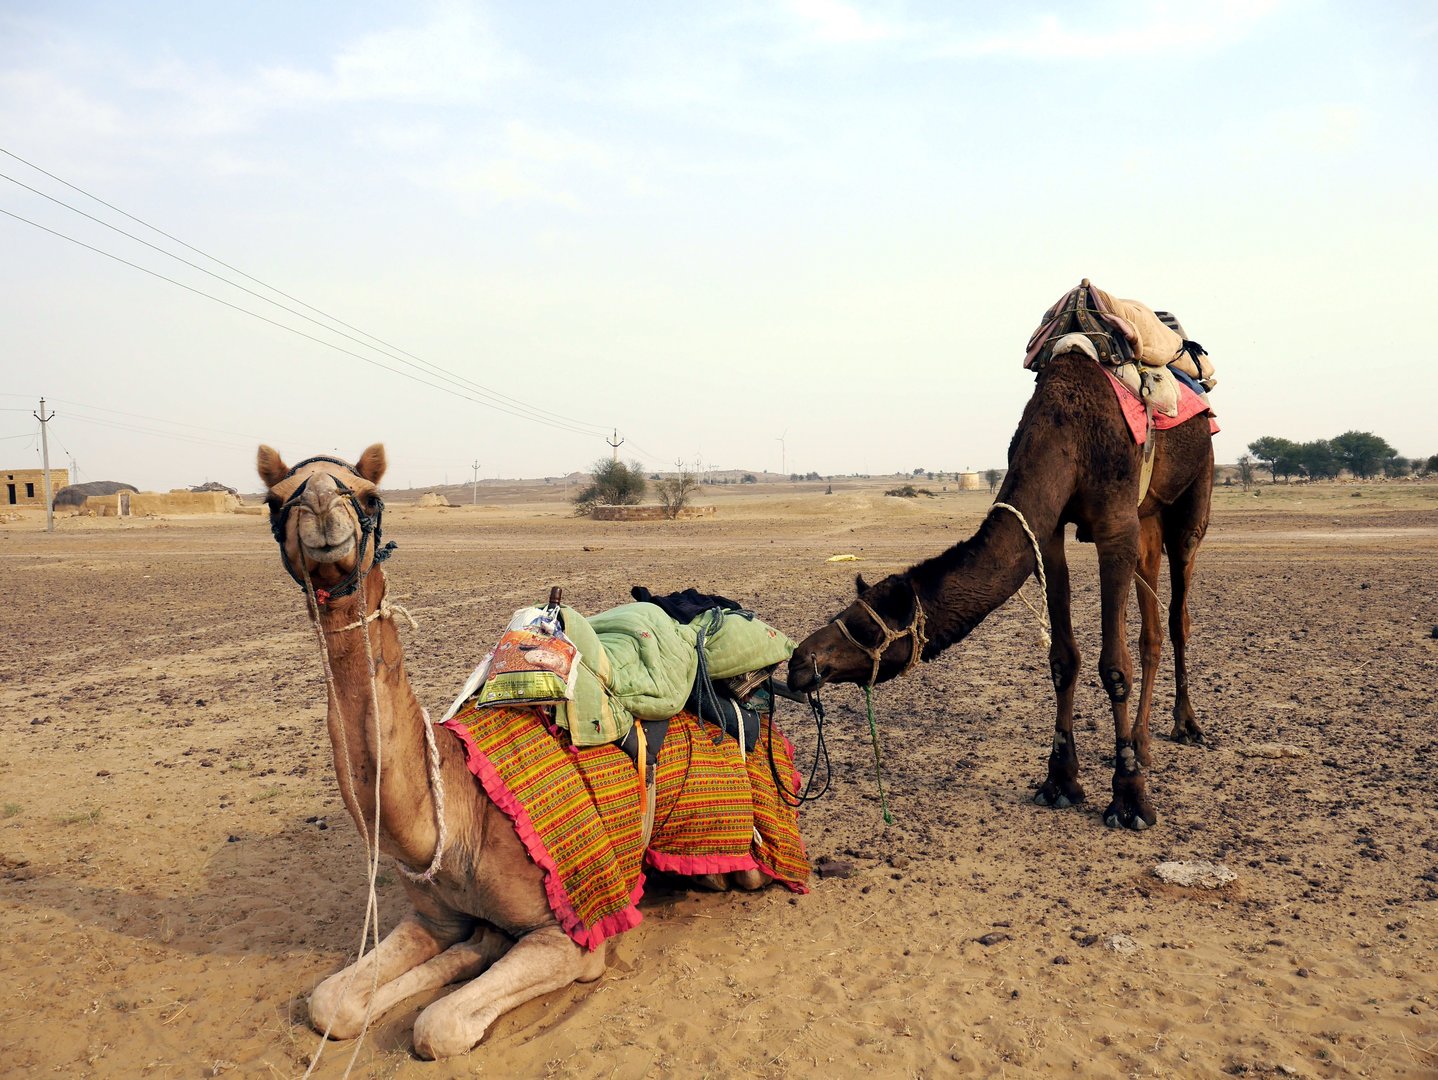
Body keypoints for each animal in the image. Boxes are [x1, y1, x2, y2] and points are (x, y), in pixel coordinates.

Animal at [258, 443, 774, 1060]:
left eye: (370, 495)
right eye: (272, 499)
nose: (319, 509)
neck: (457, 810)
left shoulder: (570, 933)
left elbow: (439, 1025)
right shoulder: (432, 916)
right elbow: (330, 1002)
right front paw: (475, 945)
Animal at [787, 348, 1214, 829]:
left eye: (867, 629)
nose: (799, 661)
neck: (1067, 437)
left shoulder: (1115, 525)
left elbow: (1115, 667)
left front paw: (1130, 800)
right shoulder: (1047, 533)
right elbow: (1063, 659)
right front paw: (1059, 782)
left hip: (1193, 495)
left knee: (1179, 613)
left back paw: (1186, 727)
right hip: (1148, 518)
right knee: (1152, 627)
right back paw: (1142, 744)